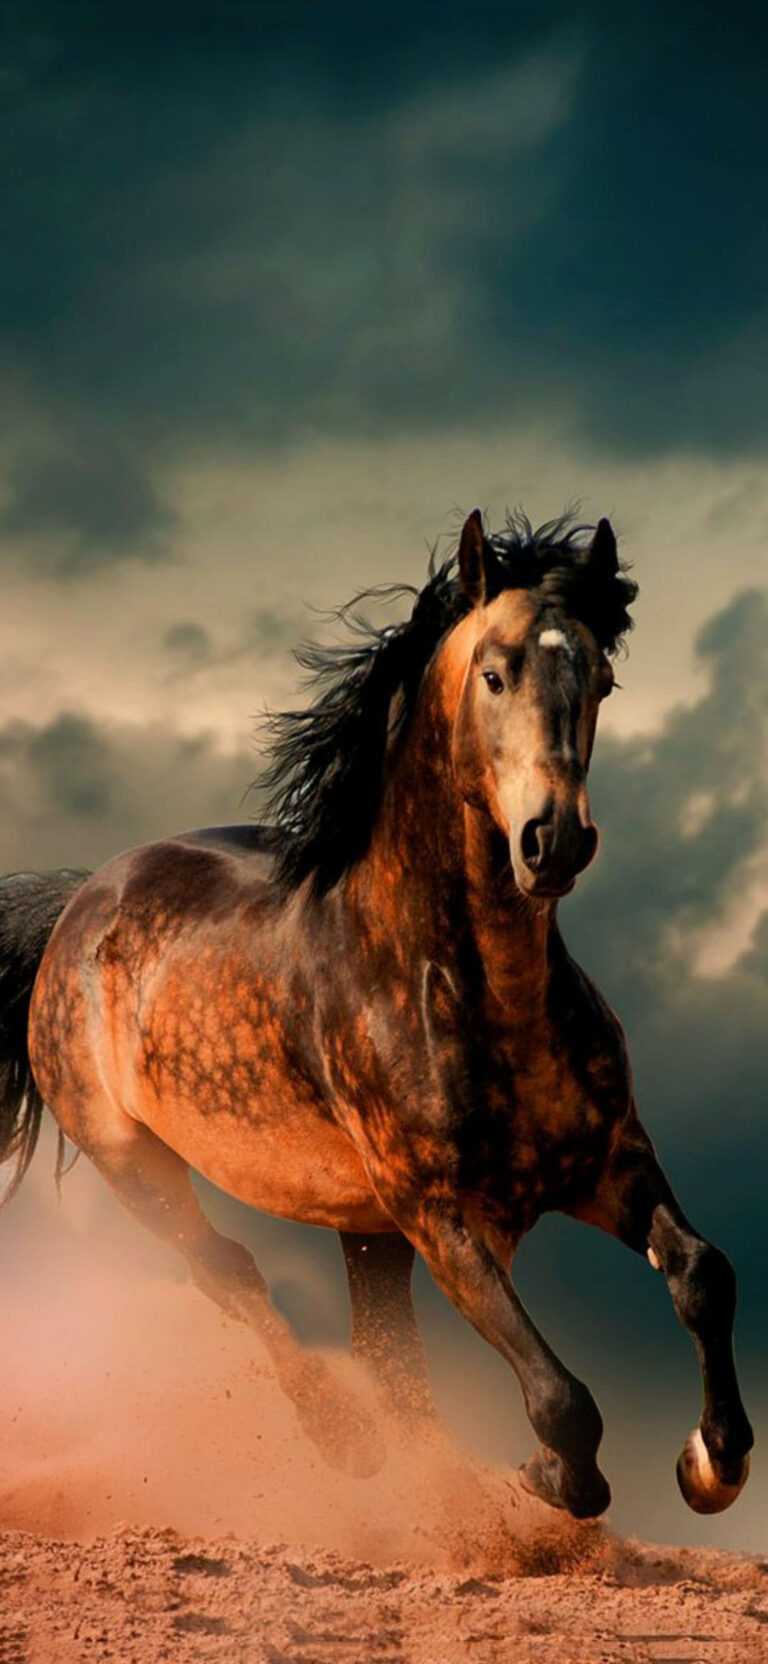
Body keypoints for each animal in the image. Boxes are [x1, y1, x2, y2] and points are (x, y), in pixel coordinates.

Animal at [0, 507, 753, 1520]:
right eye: (495, 673)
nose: (554, 841)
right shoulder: (443, 1216)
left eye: (602, 678)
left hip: (363, 1227)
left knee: (383, 1353)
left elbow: (703, 1274)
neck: (478, 993)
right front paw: (550, 1478)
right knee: (231, 1274)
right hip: (137, 1165)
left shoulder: (609, 1163)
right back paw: (345, 1442)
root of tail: (77, 906)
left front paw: (711, 1463)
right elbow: (563, 1399)